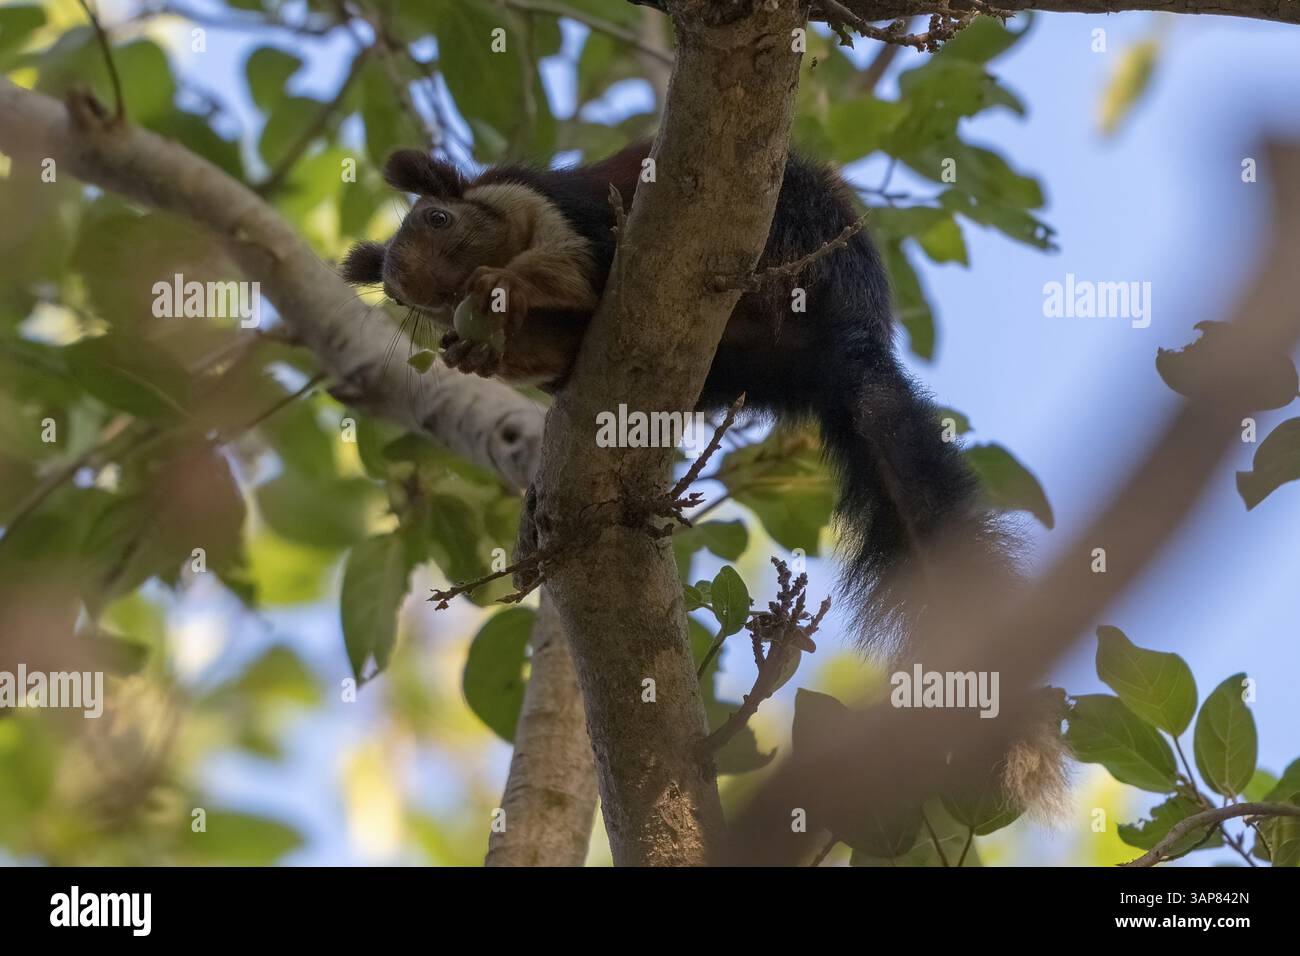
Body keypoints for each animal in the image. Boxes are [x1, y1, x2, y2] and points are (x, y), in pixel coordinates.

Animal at [342, 142, 1071, 820]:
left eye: (438, 219)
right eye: (400, 299)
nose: (417, 285)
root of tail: (843, 346)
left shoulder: (564, 210)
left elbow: (579, 271)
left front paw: (509, 287)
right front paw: (479, 349)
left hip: (790, 230)